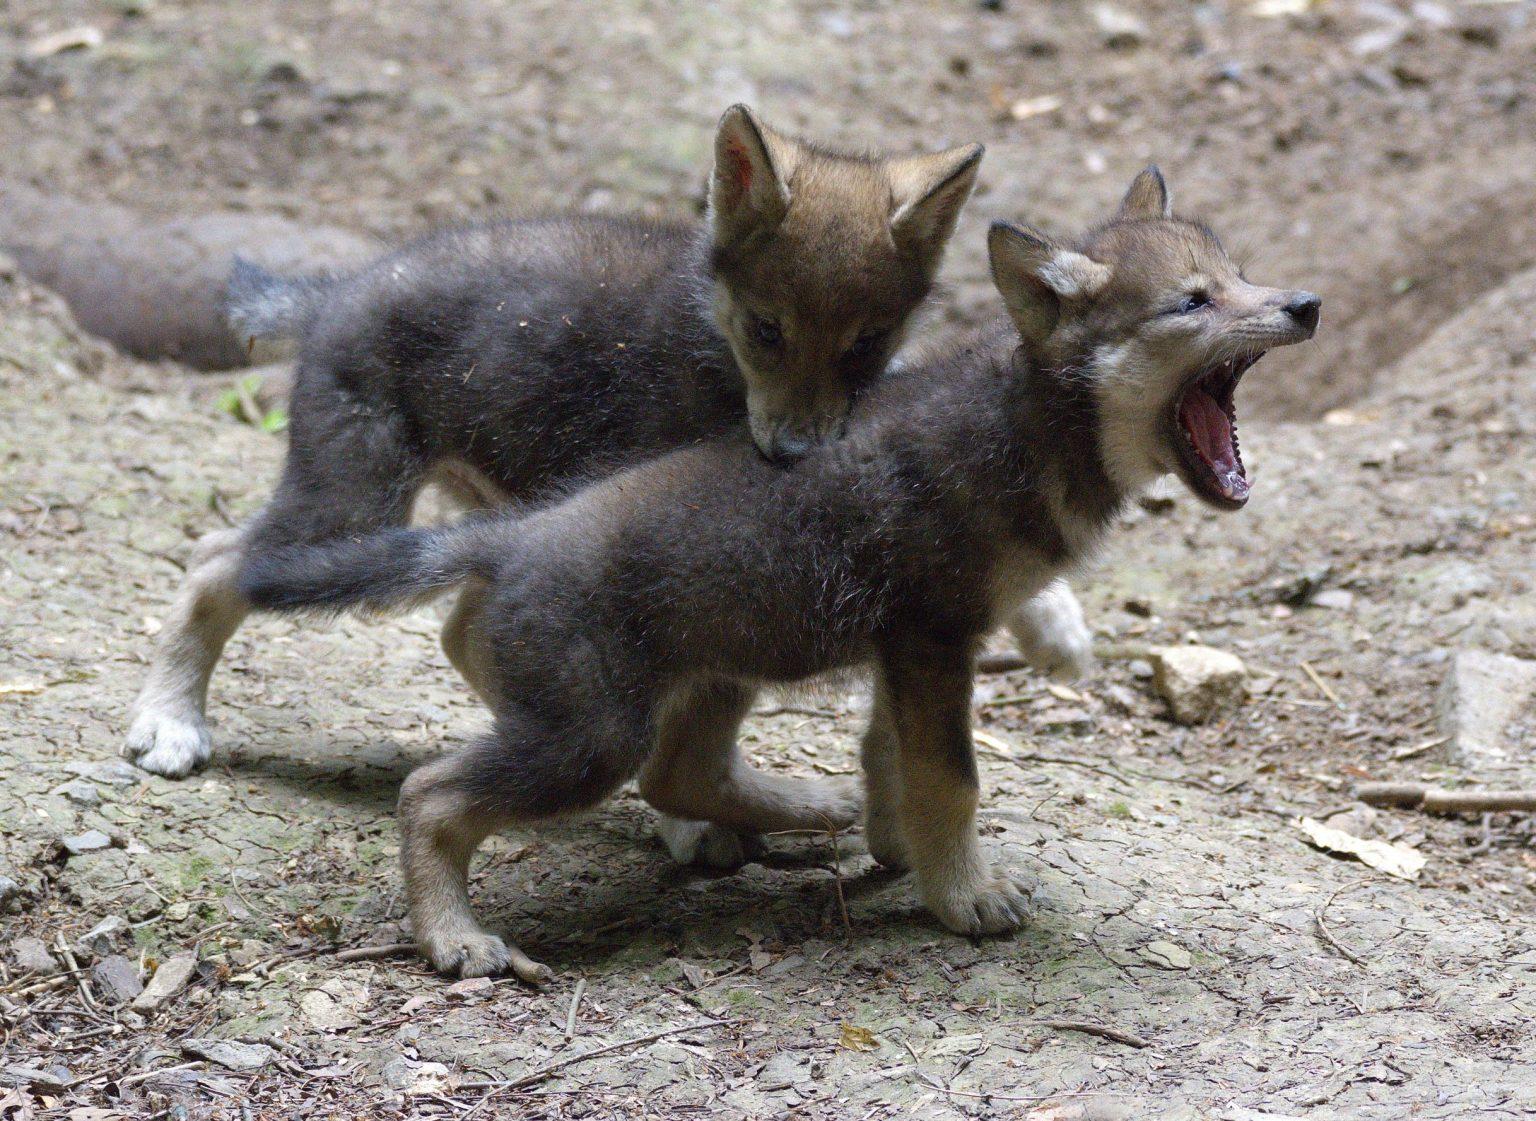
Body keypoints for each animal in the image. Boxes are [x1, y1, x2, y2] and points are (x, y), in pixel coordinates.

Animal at [239, 169, 1321, 979]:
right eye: (1192, 302)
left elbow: (890, 764)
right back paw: (457, 940)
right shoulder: (936, 640)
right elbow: (953, 781)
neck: (1024, 431)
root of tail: (510, 538)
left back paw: (803, 814)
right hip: (588, 738)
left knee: (675, 772)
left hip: (706, 672)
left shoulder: (906, 653)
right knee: (432, 793)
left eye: (1241, 273)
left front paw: (900, 853)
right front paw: (965, 897)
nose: (1306, 303)